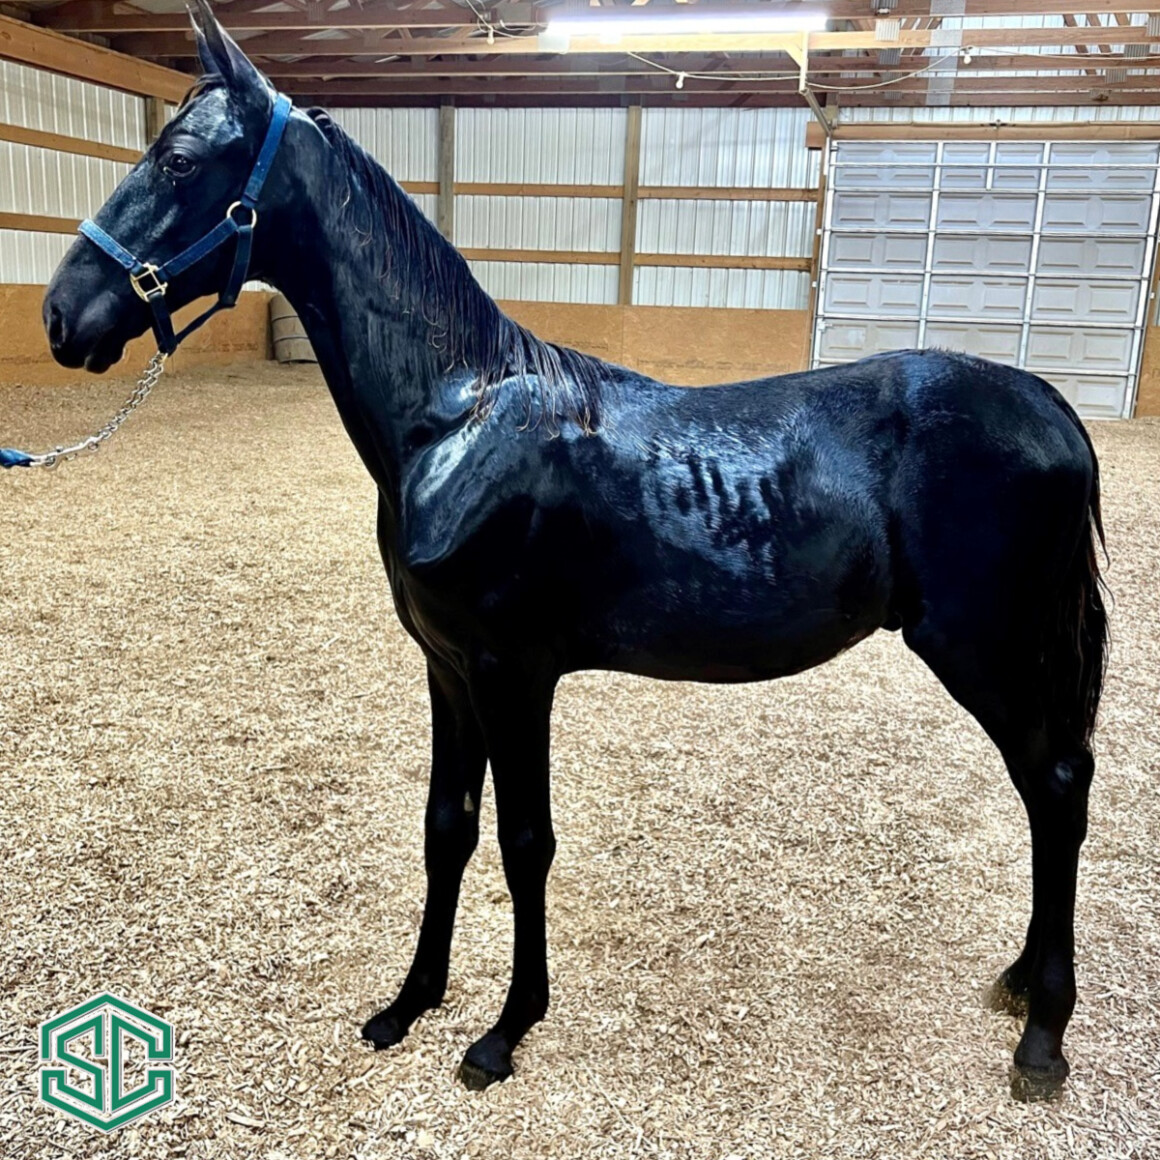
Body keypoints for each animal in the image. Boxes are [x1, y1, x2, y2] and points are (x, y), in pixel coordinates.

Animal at [41, 1, 1107, 1100]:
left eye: (177, 159)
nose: (60, 316)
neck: (456, 419)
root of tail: (1052, 407)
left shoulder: (515, 673)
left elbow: (525, 842)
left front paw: (503, 1031)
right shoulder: (449, 669)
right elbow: (447, 828)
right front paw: (410, 1002)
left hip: (988, 648)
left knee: (1058, 785)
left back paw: (1041, 1035)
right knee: (1047, 789)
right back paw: (1019, 984)